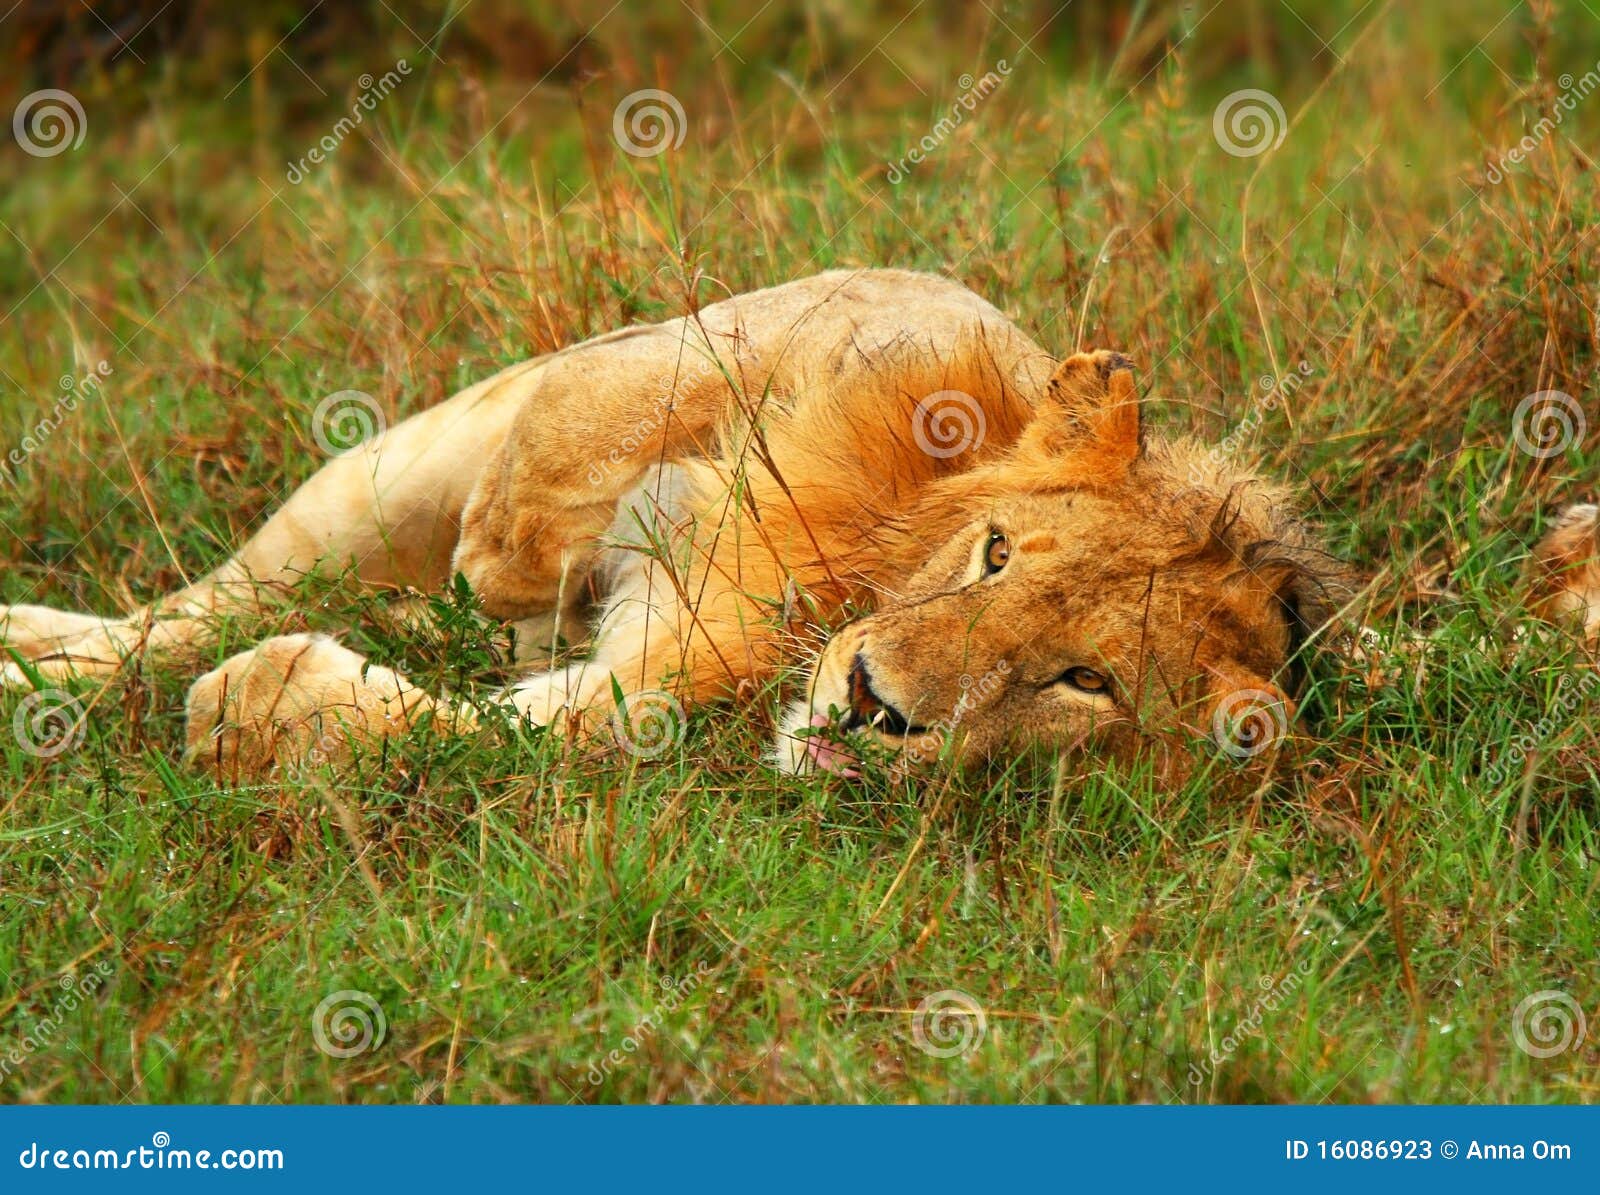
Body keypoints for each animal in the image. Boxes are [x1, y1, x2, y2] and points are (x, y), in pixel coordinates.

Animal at [2, 269, 1593, 780]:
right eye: (995, 555)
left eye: (1079, 679)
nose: (875, 701)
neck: (853, 581)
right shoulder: (824, 321)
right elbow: (596, 440)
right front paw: (504, 567)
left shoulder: (658, 686)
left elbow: (497, 725)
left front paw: (267, 712)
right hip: (383, 469)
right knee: (199, 600)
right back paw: (48, 642)